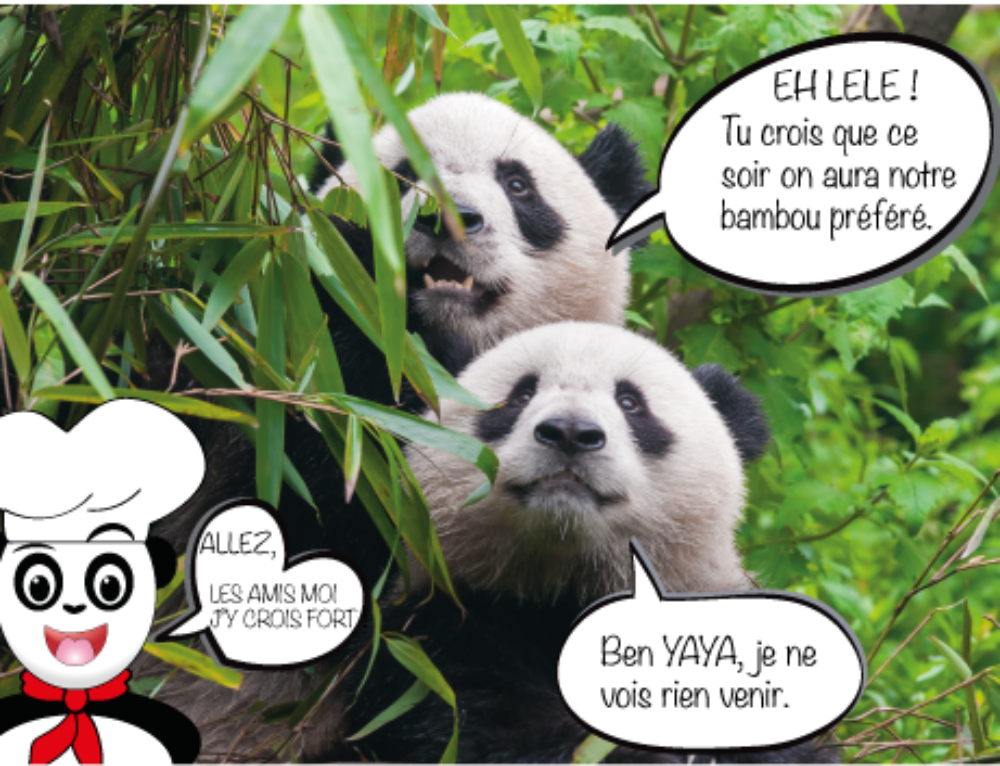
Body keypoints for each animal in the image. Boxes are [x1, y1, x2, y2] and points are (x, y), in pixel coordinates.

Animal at [321, 322, 839, 766]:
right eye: (521, 394)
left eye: (630, 402)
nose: (570, 433)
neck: (568, 580)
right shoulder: (448, 626)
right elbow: (484, 723)